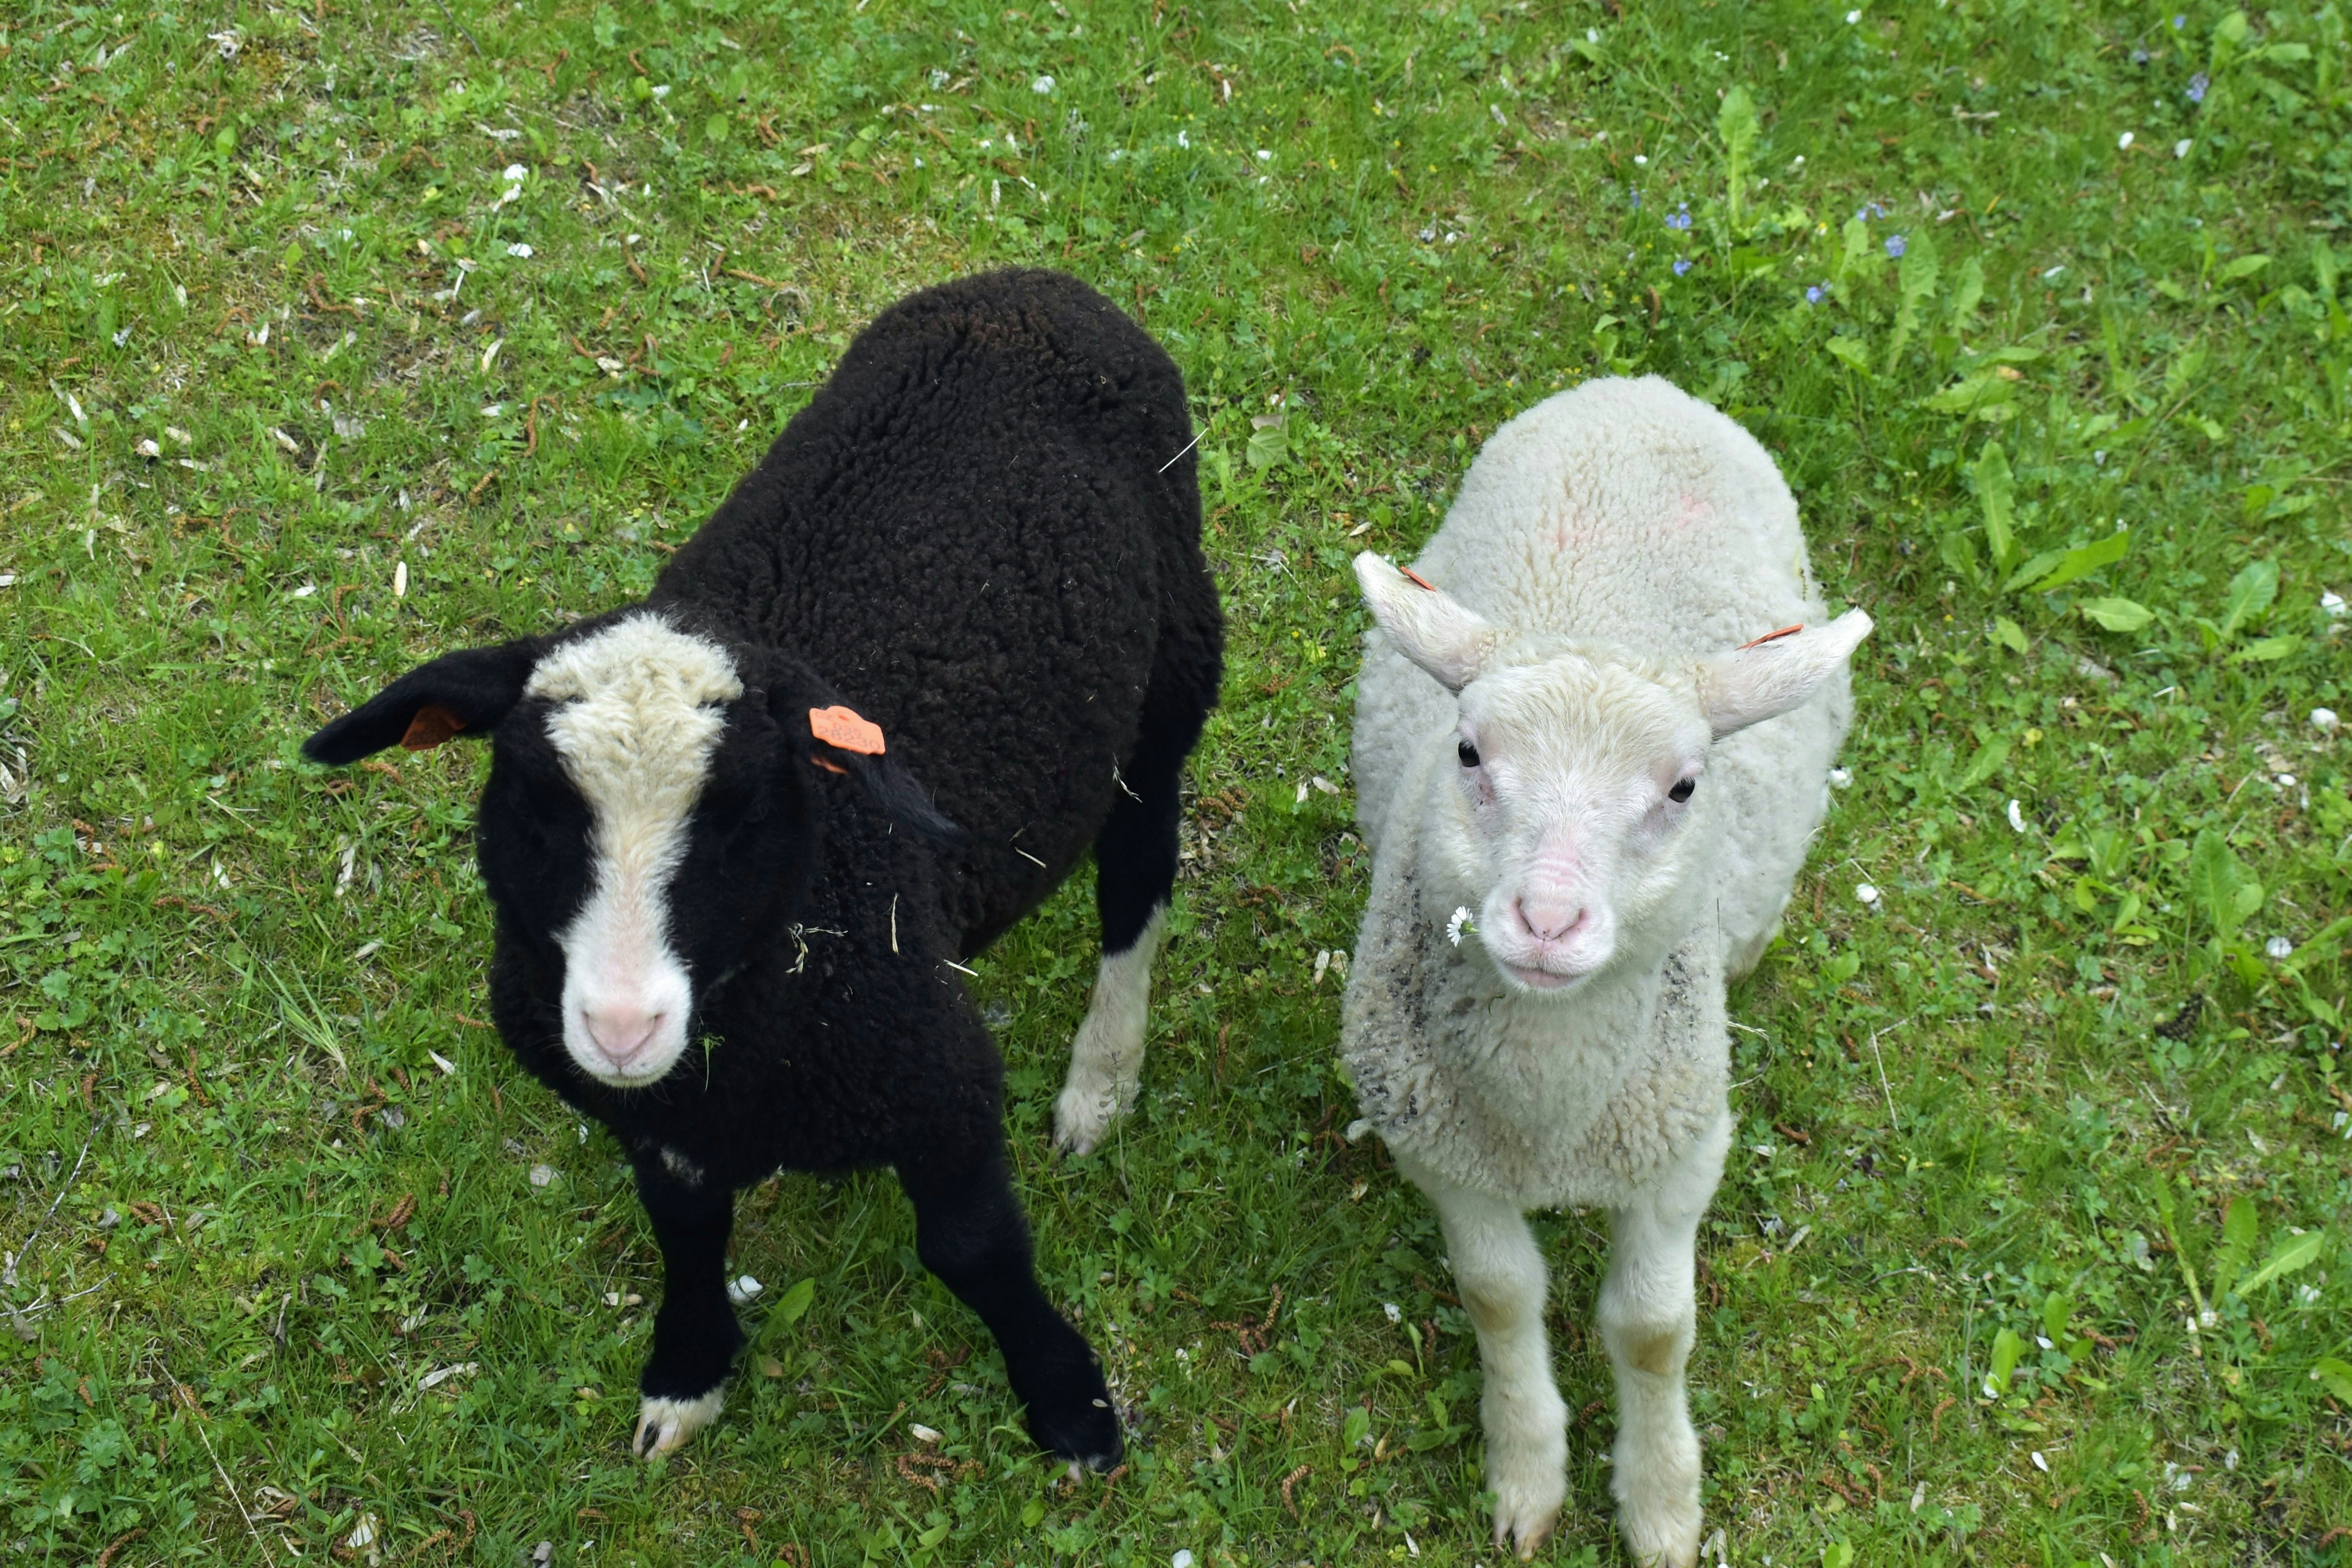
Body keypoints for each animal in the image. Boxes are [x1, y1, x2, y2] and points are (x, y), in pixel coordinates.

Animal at [302, 270, 1223, 1464]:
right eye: (535, 811)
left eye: (742, 817)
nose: (620, 1027)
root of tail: (1041, 286)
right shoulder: (661, 1121)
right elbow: (686, 1227)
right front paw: (687, 1374)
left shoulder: (940, 1075)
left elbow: (971, 1248)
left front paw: (1070, 1403)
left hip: (1174, 668)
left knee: (1139, 870)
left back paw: (1100, 1082)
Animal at [1339, 375, 1870, 1564]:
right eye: (1469, 753)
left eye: (1681, 788)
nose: (1546, 919)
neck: (1549, 1114)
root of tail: (1641, 388)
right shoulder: (1443, 1150)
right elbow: (1498, 1296)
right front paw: (1528, 1472)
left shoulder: (1681, 1150)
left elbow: (1653, 1328)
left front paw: (1661, 1501)